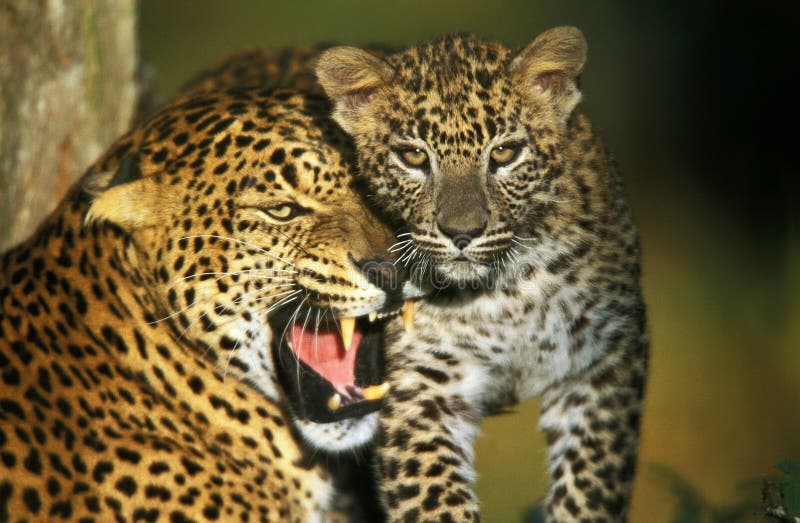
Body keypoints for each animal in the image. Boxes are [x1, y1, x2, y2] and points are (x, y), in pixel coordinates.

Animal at [314, 26, 649, 522]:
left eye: (505, 153)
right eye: (414, 157)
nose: (462, 232)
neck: (507, 292)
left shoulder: (606, 358)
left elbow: (590, 485)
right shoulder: (422, 381)